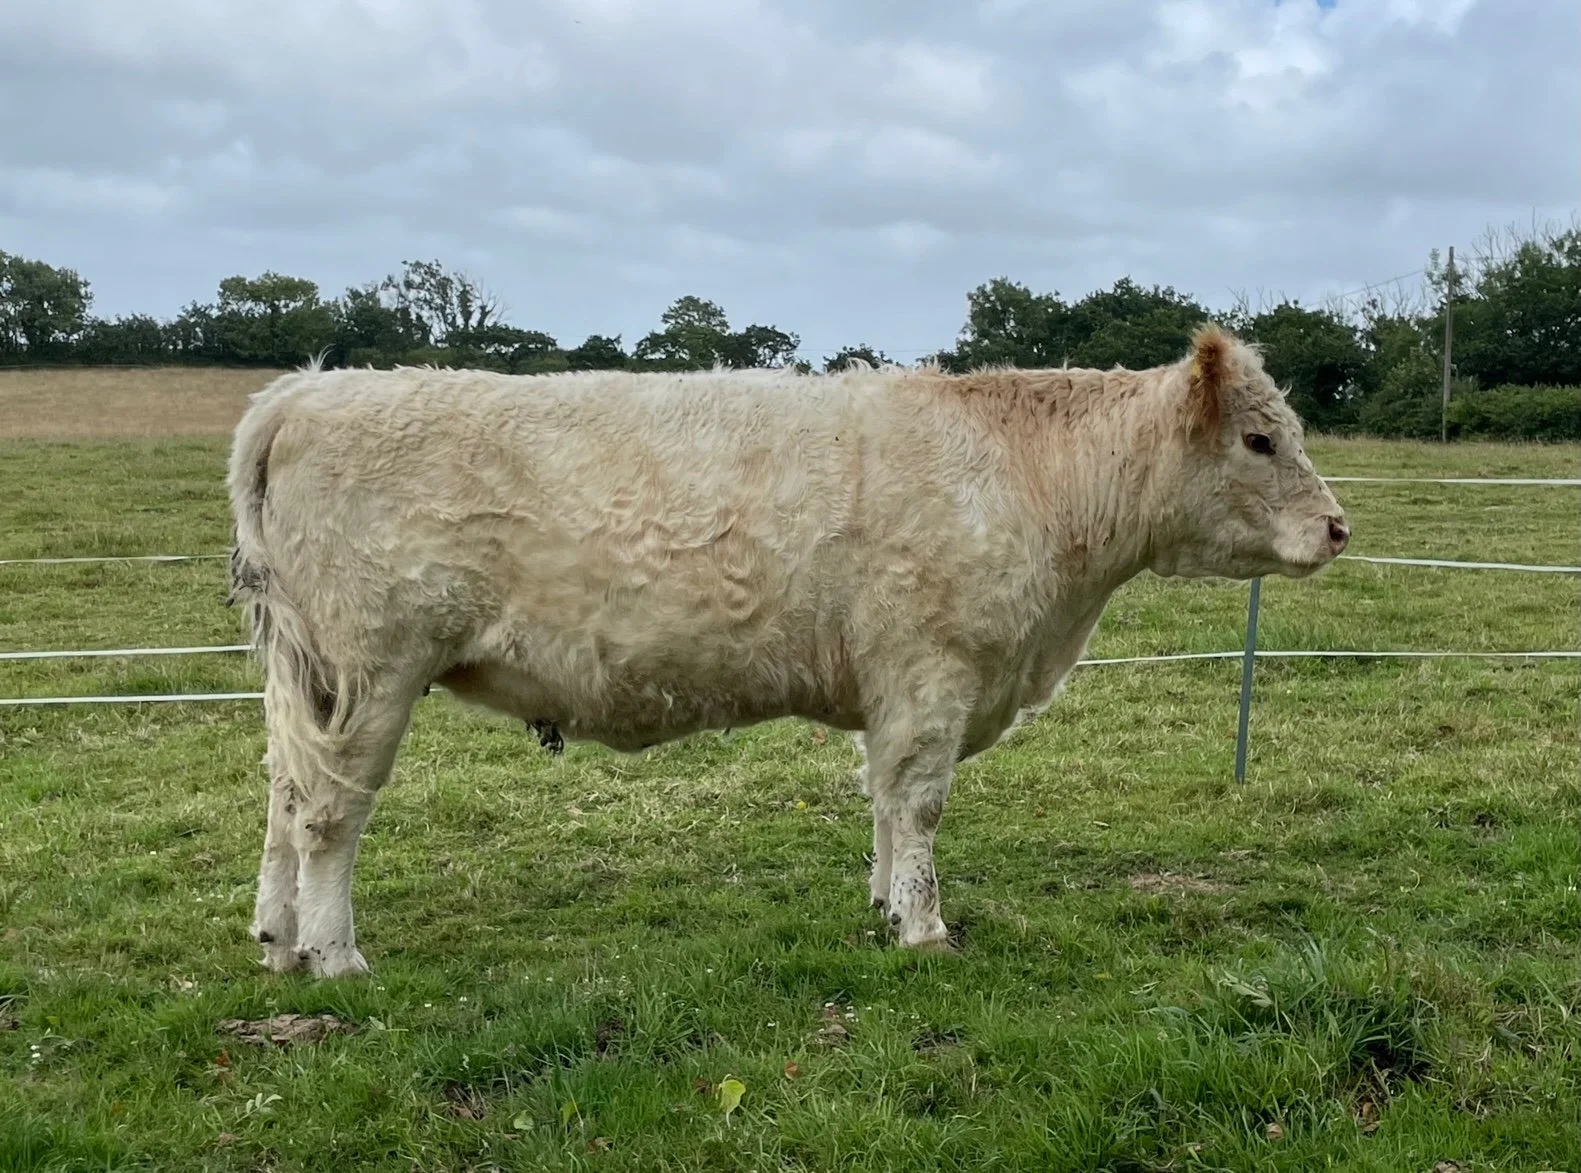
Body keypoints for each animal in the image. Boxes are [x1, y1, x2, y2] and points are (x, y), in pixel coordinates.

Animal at [227, 324, 1348, 977]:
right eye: (1259, 439)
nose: (1338, 528)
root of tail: (307, 391)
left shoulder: (894, 692)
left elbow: (885, 799)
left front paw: (884, 903)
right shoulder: (932, 672)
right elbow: (920, 801)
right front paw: (925, 928)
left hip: (309, 674)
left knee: (283, 794)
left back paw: (278, 939)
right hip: (372, 668)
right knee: (329, 811)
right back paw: (334, 955)